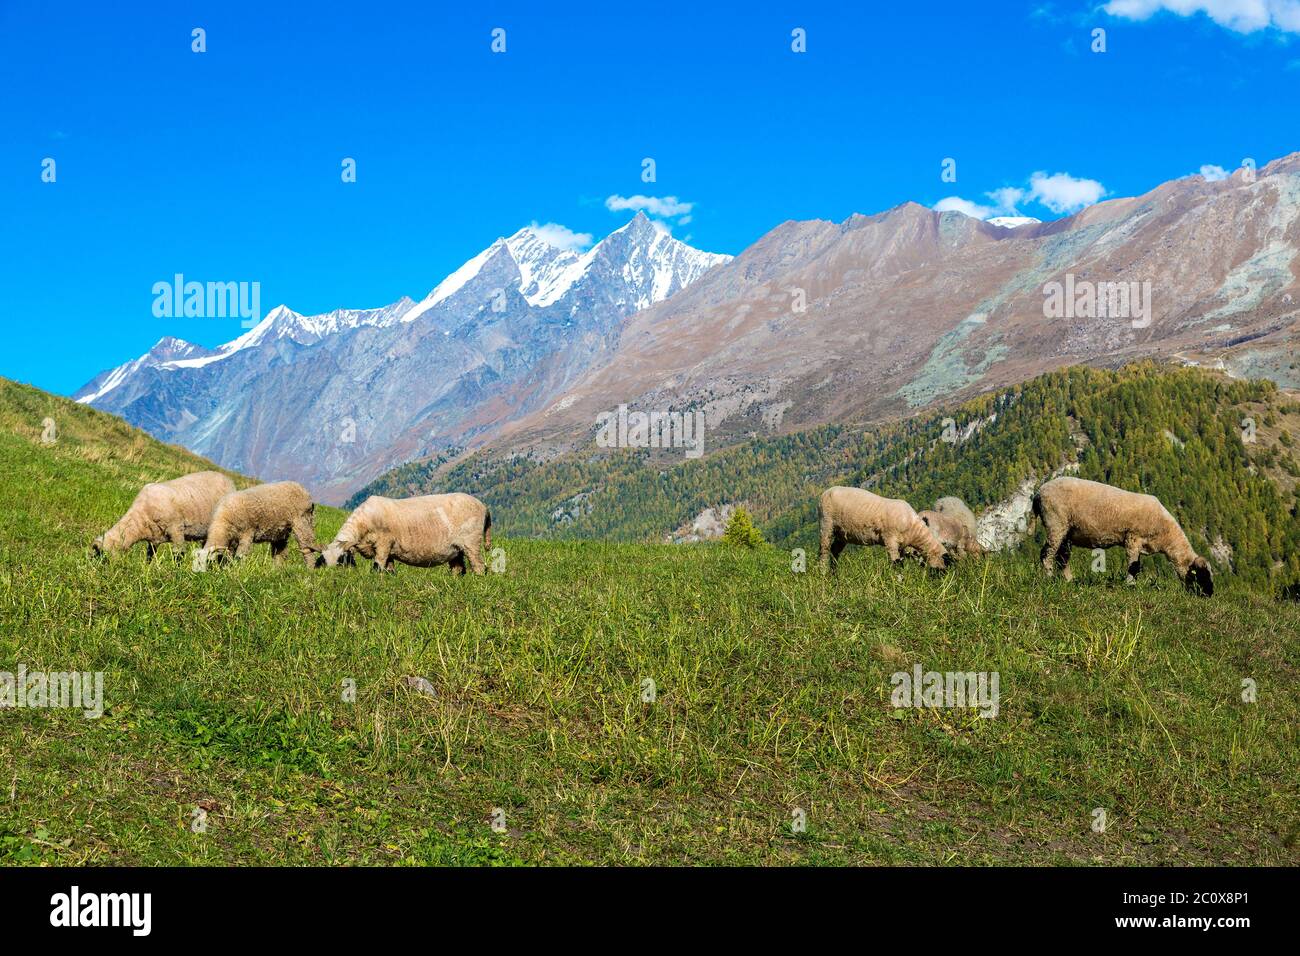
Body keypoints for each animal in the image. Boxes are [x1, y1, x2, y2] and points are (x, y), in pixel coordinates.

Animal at [92, 471, 236, 560]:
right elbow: (150, 556)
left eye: (102, 556)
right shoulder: (153, 538)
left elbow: (178, 554)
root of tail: (229, 481)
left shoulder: (177, 529)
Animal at [317, 493, 492, 575]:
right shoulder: (389, 551)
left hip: (471, 542)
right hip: (456, 548)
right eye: (324, 561)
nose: (333, 576)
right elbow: (389, 568)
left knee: (478, 565)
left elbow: (378, 564)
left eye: (341, 560)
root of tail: (484, 506)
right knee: (458, 568)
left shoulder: (384, 543)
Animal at [819, 486, 949, 573]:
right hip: (826, 524)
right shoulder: (890, 540)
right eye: (943, 570)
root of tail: (827, 491)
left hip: (842, 533)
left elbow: (901, 563)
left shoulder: (901, 546)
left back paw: (834, 574)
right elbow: (896, 564)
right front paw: (898, 583)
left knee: (835, 551)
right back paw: (823, 573)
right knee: (824, 550)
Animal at [1033, 476, 1213, 596]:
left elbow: (1136, 565)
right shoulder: (1133, 537)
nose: (1209, 595)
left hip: (1067, 531)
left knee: (1062, 557)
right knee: (1047, 553)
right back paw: (1049, 578)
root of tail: (1039, 492)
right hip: (1055, 522)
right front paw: (1131, 585)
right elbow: (1133, 565)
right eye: (1202, 576)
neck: (1165, 535)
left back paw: (1069, 580)